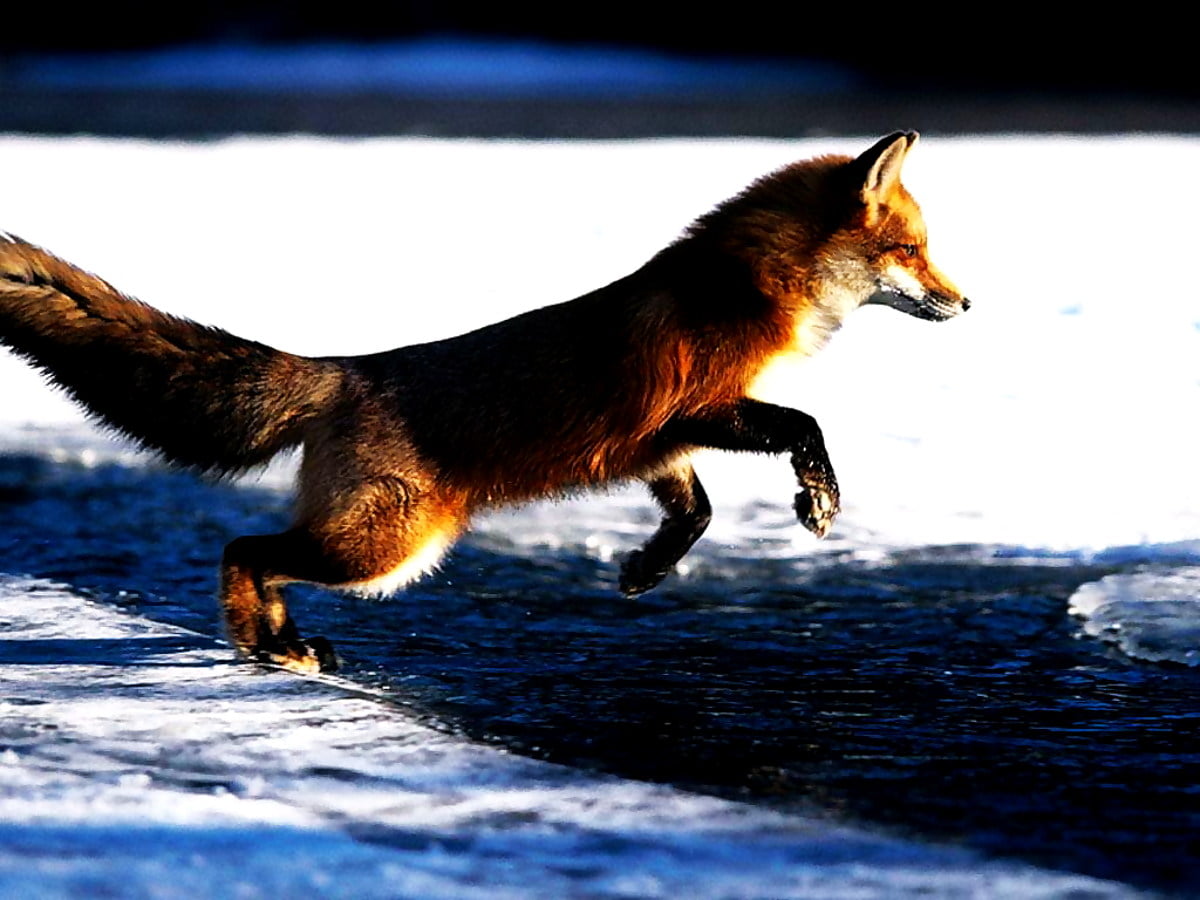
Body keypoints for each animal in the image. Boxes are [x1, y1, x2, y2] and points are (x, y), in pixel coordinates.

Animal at [0, 131, 967, 673]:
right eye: (912, 251)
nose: (967, 304)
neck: (746, 289)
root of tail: (346, 368)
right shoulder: (688, 409)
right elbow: (804, 426)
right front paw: (819, 501)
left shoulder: (657, 449)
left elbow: (694, 514)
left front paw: (645, 570)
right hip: (384, 550)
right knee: (245, 547)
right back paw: (269, 640)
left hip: (379, 549)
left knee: (258, 553)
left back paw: (277, 640)